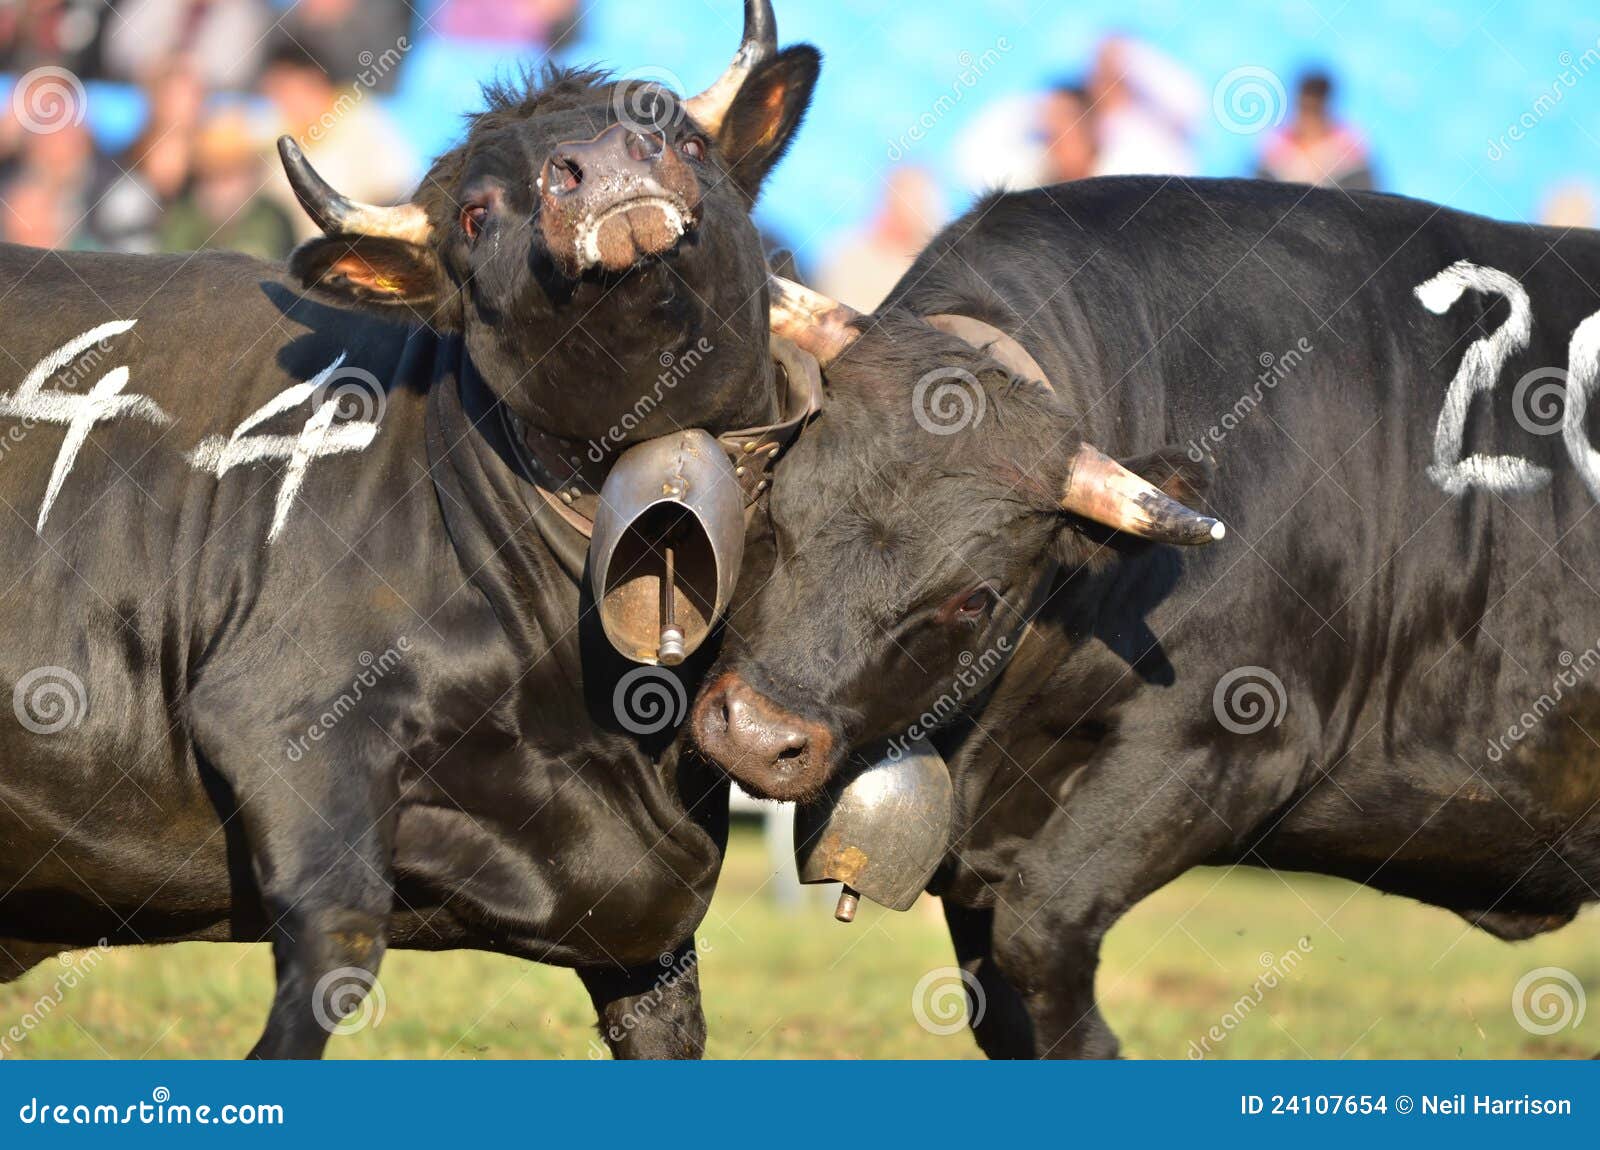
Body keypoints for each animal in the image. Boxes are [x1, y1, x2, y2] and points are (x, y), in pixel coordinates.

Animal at [0, 0, 819, 1058]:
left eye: (684, 138)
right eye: (476, 213)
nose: (604, 160)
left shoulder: (647, 913)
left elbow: (667, 1027)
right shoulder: (287, 720)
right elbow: (336, 949)